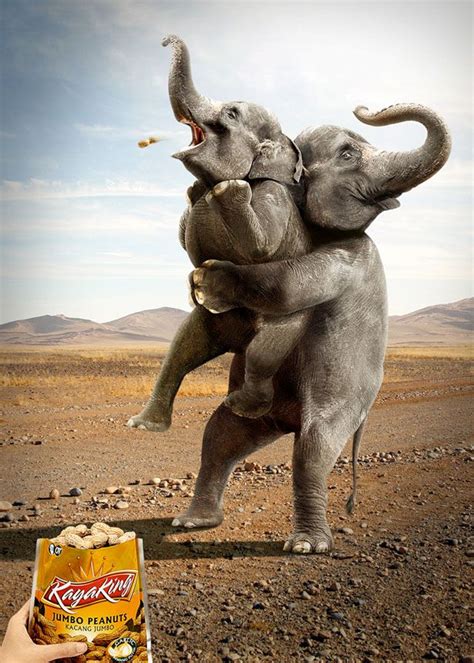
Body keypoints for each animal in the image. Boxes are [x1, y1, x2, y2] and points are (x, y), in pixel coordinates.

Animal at [127, 34, 314, 430]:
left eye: (230, 114)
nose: (164, 40)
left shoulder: (274, 195)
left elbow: (262, 246)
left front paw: (229, 188)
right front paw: (194, 190)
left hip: (290, 316)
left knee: (263, 350)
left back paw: (244, 408)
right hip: (216, 319)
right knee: (182, 345)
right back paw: (143, 425)